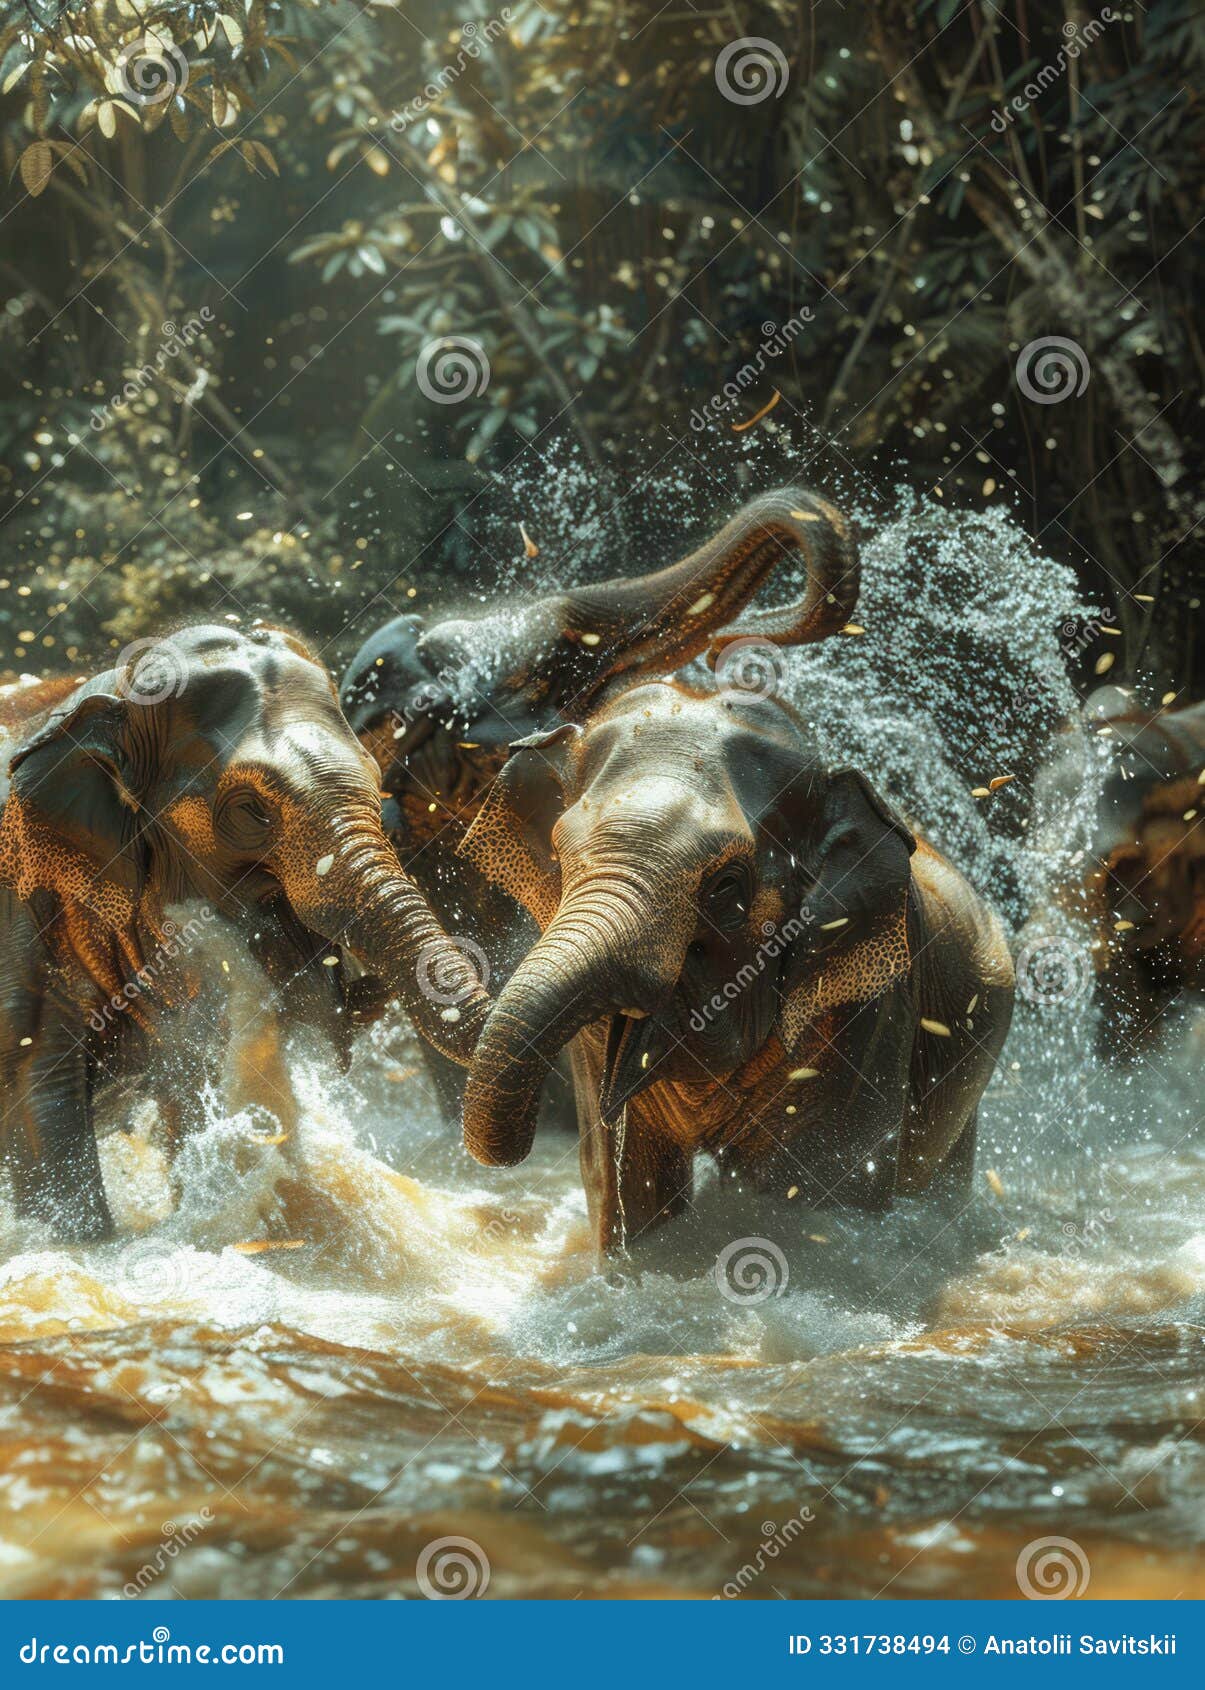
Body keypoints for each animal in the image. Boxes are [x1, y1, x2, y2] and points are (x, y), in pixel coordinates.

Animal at [0, 623, 489, 1241]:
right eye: (251, 810)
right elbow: (36, 1090)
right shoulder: (20, 920)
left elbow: (187, 1080)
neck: (107, 693)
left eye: (378, 779)